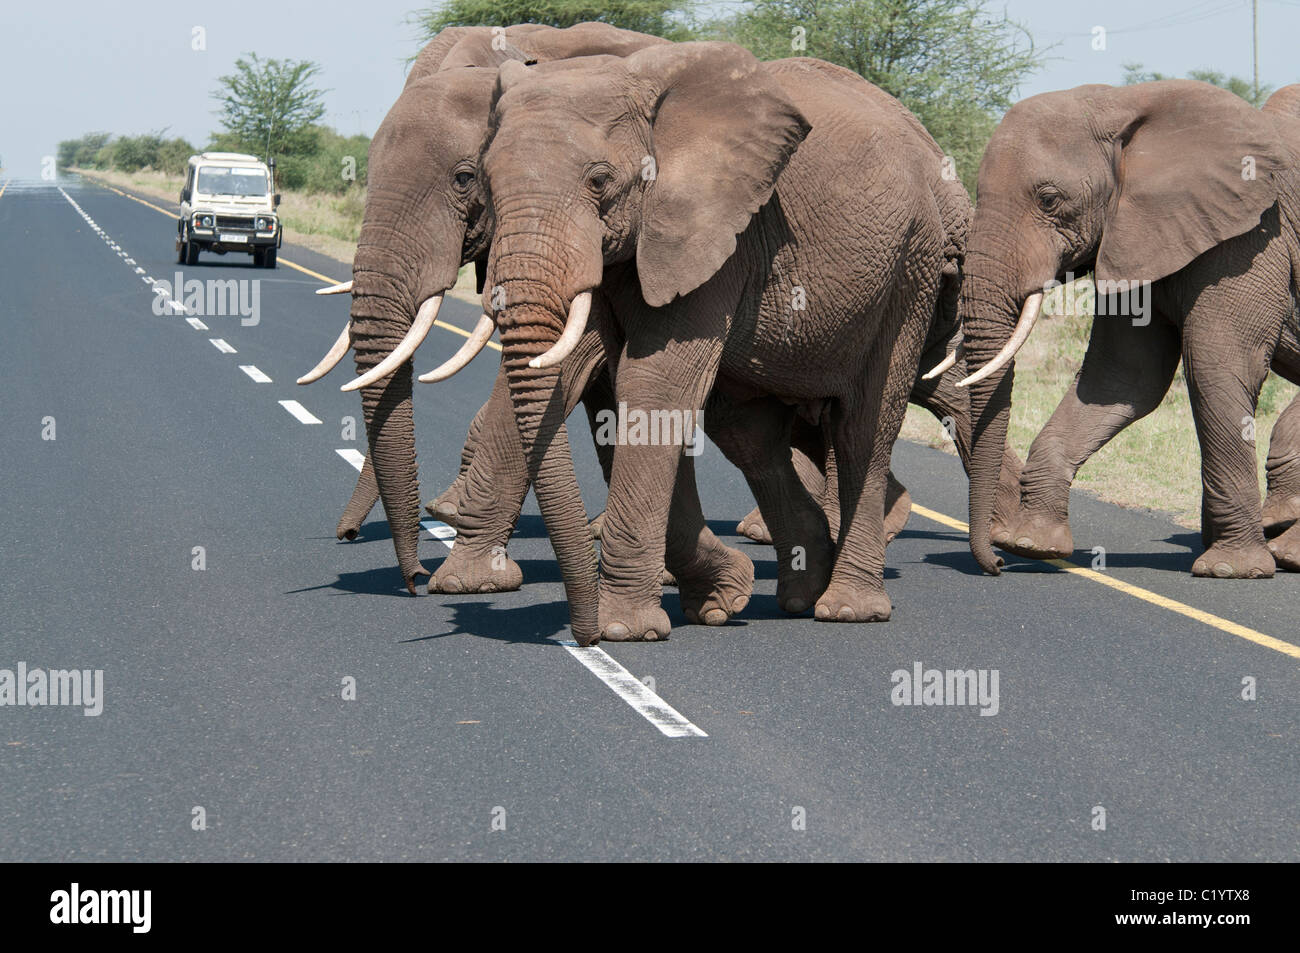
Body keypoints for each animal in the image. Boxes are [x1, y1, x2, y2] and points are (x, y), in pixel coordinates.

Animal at [452, 42, 972, 644]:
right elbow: (605, 373)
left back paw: (847, 609)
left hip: (912, 269)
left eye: (600, 181)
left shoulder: (719, 235)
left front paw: (625, 631)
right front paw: (720, 601)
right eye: (481, 182)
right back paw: (800, 592)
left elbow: (656, 382)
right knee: (748, 433)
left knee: (862, 425)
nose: (582, 637)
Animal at [958, 79, 1300, 579]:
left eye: (1049, 199)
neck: (1124, 101)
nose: (996, 562)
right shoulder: (1138, 235)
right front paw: (1032, 544)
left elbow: (1218, 367)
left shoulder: (1252, 239)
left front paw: (1230, 570)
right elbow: (1123, 379)